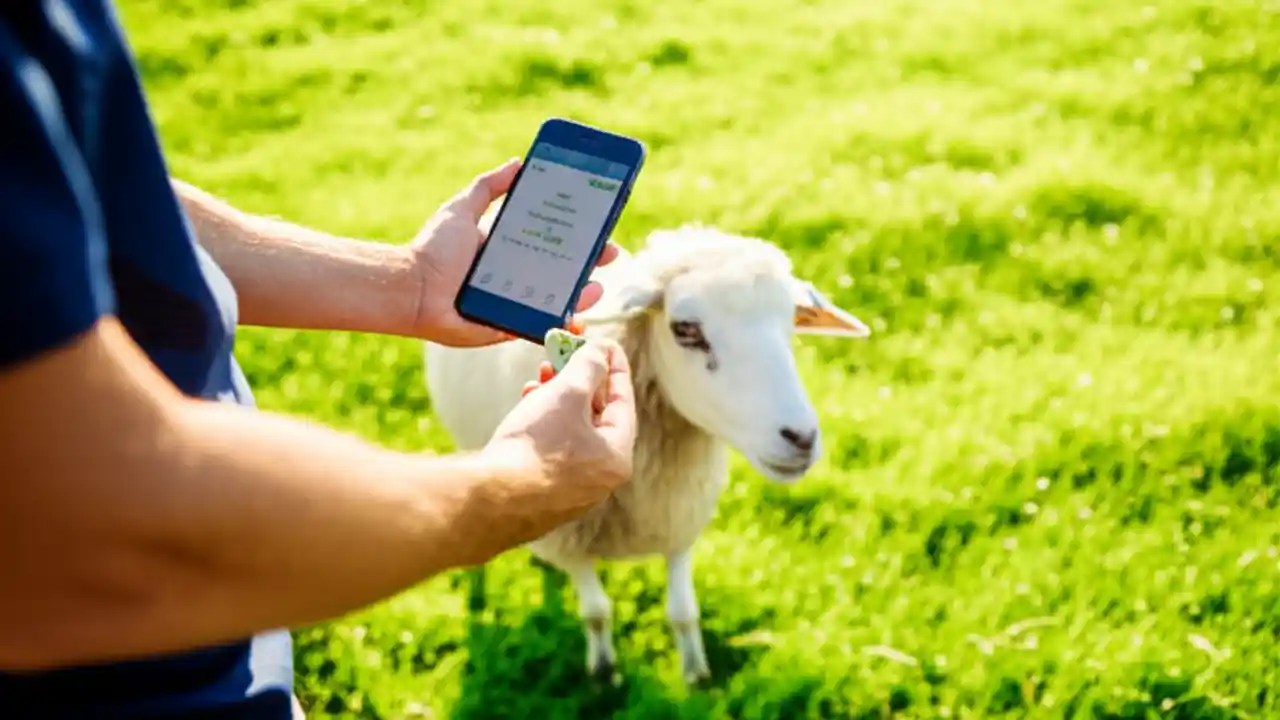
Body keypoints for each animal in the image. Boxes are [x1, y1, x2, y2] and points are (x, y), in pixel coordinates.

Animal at [423, 209, 870, 685]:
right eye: (685, 330)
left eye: (790, 325)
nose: (802, 438)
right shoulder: (572, 540)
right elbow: (597, 612)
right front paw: (604, 674)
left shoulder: (678, 520)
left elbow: (683, 612)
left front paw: (696, 676)